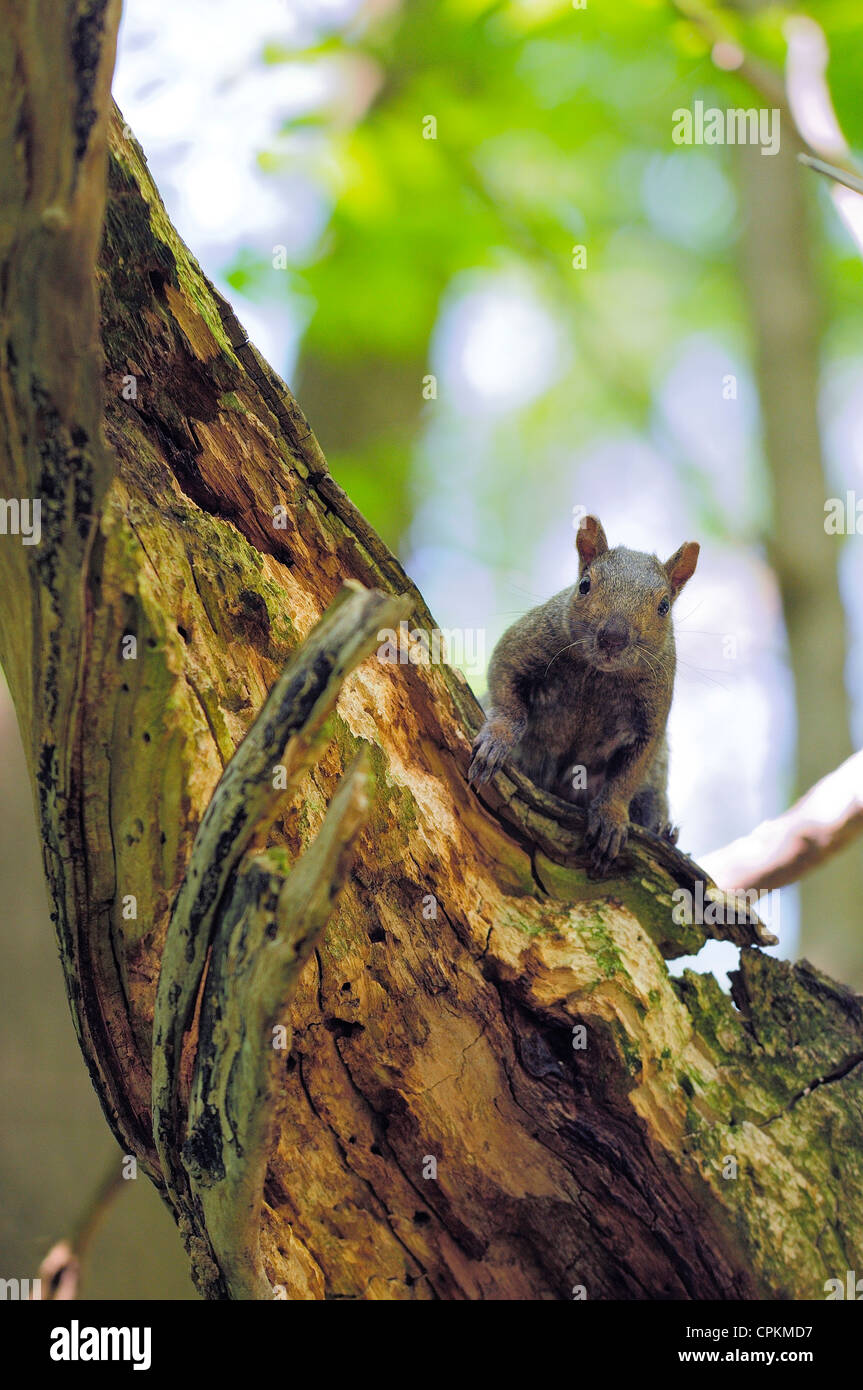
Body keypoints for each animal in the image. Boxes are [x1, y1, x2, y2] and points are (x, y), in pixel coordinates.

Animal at [467, 515, 699, 875]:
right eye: (584, 585)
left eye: (664, 607)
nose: (613, 637)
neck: (598, 676)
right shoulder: (525, 644)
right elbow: (506, 688)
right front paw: (497, 740)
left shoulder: (654, 715)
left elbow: (631, 772)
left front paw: (611, 817)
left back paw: (664, 831)